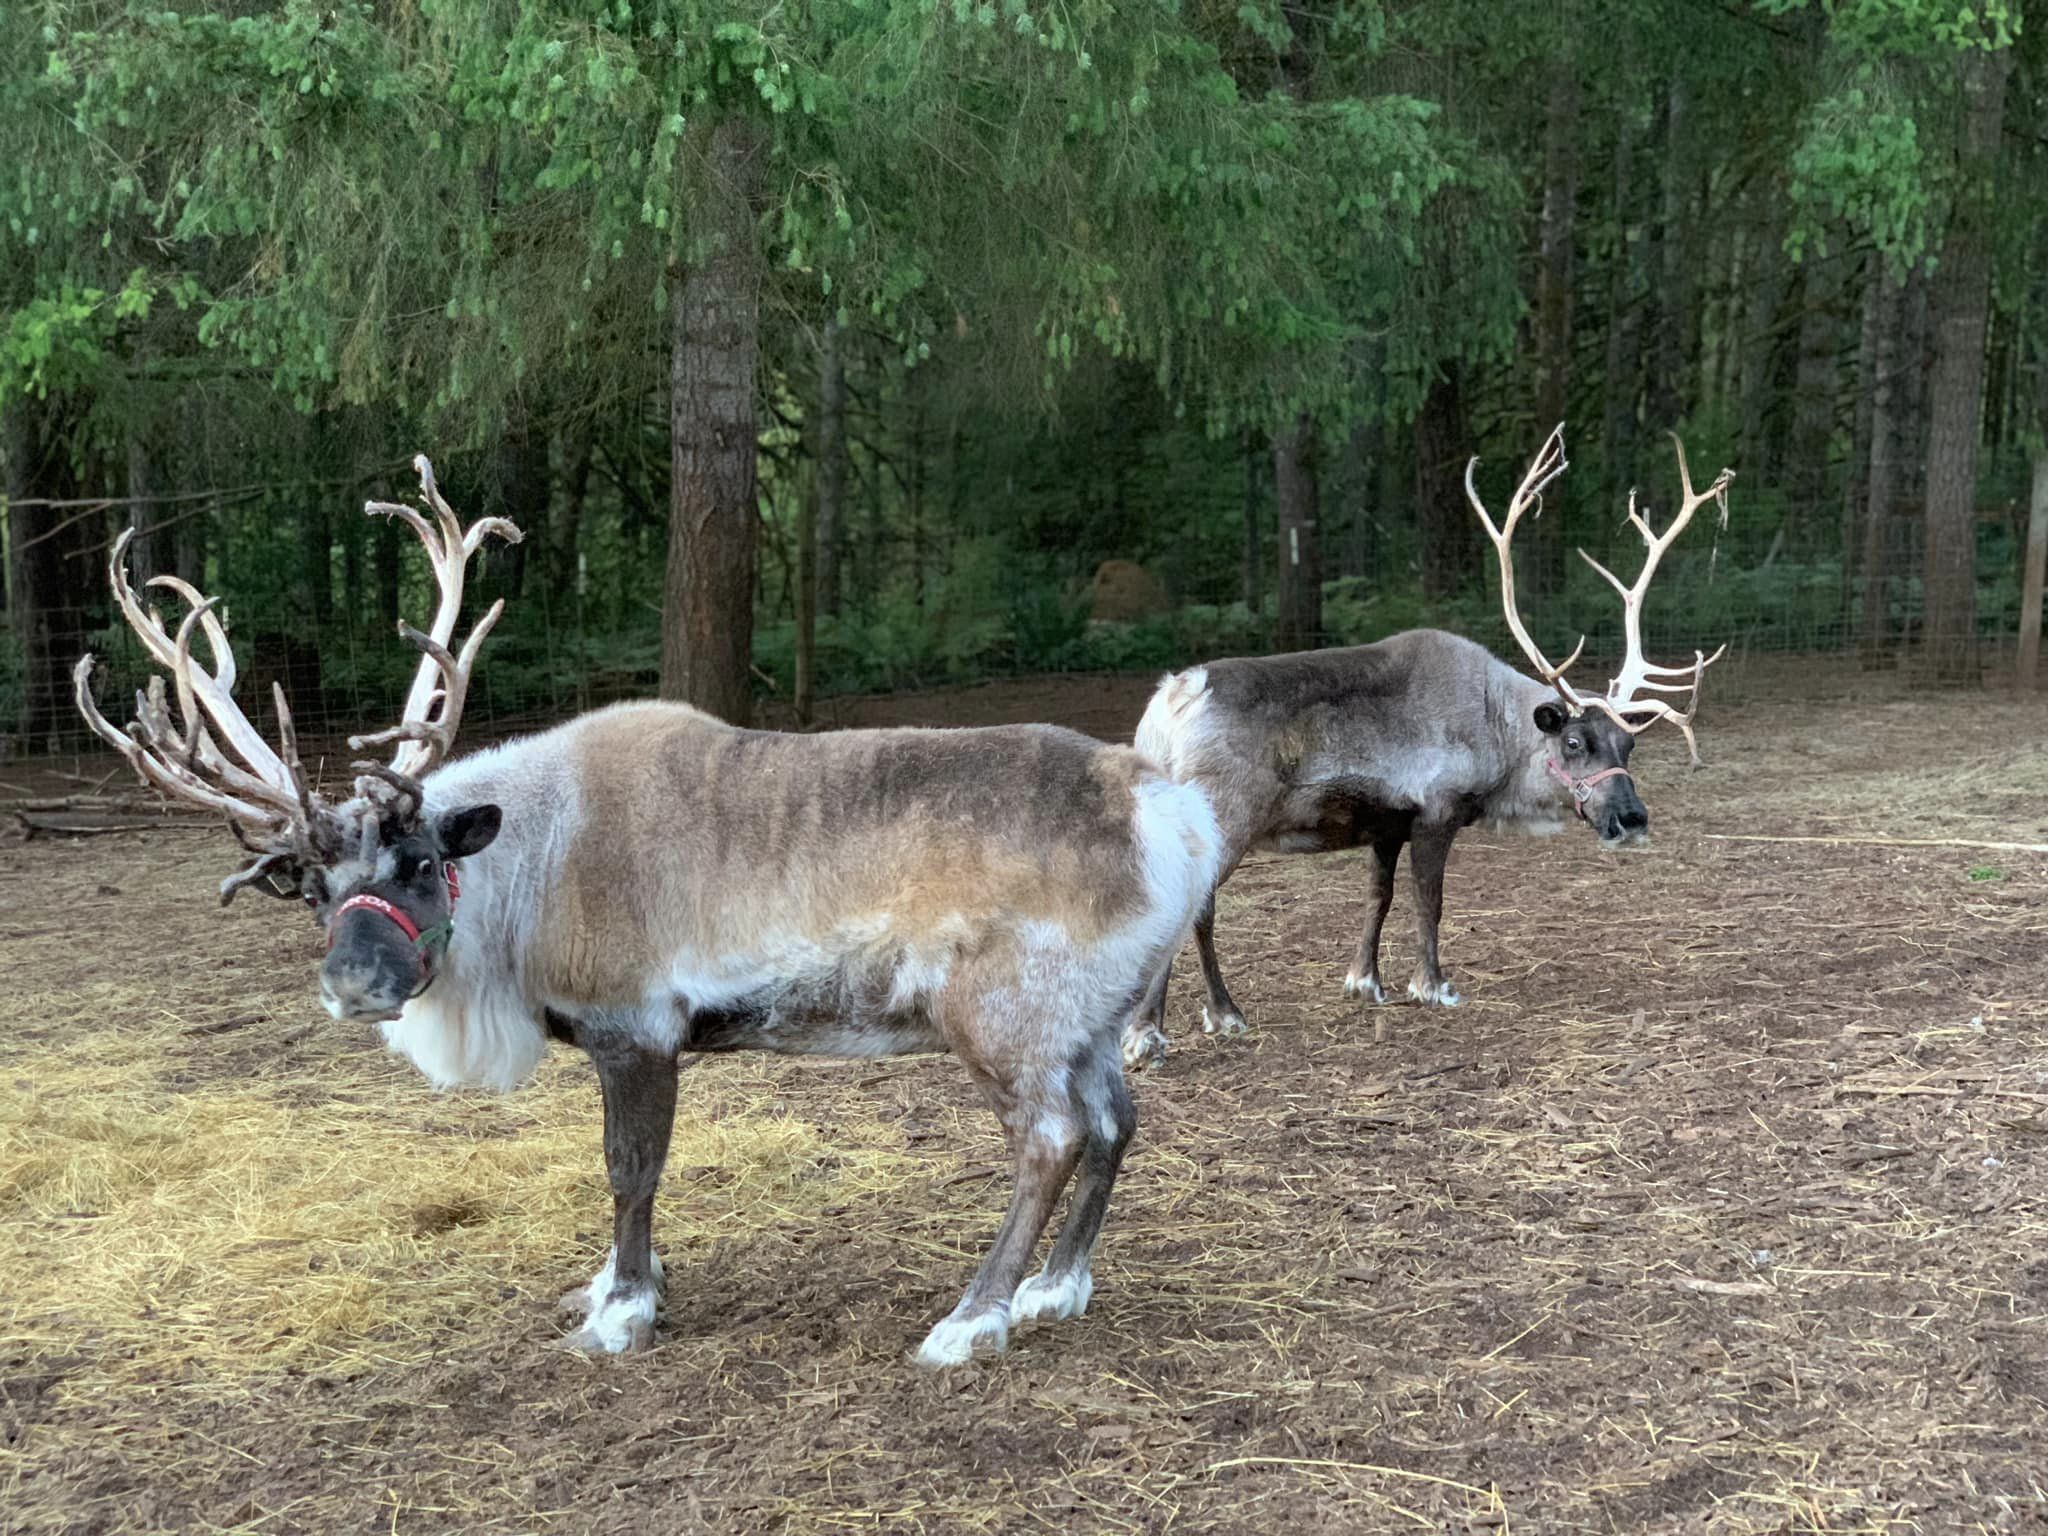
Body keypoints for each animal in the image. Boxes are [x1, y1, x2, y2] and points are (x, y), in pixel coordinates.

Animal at [74, 457, 1222, 1369]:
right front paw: (619, 1287)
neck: (525, 868)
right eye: (311, 886)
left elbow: (630, 1172)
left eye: (418, 858)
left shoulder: (635, 1029)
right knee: (1116, 1121)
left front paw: (622, 1310)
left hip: (1006, 1017)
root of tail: (1173, 812)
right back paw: (1056, 1288)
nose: (355, 984)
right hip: (1088, 1019)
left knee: (1049, 1137)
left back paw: (973, 1318)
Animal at [1121, 425, 1732, 1067]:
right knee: (1188, 909)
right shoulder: (1436, 813)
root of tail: (1169, 703)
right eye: (1573, 740)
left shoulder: (1386, 823)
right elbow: (1429, 901)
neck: (1497, 725)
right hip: (1225, 818)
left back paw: (1215, 1013)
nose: (1632, 818)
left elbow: (1380, 896)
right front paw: (1433, 985)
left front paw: (1365, 982)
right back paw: (1162, 1029)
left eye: (1629, 743)